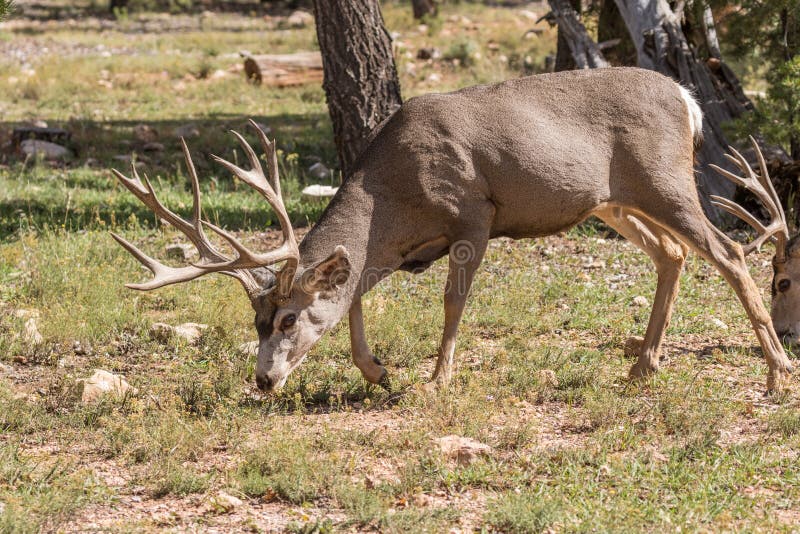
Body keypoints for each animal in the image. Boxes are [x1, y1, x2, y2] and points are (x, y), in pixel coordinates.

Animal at [110, 67, 795, 394]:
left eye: (287, 319)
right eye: (254, 322)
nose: (262, 379)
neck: (393, 191)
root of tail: (687, 97)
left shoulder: (472, 211)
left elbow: (452, 298)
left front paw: (436, 379)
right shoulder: (396, 249)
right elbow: (355, 292)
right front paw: (377, 370)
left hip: (663, 178)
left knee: (729, 252)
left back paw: (775, 371)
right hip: (611, 202)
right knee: (673, 254)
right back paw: (642, 367)